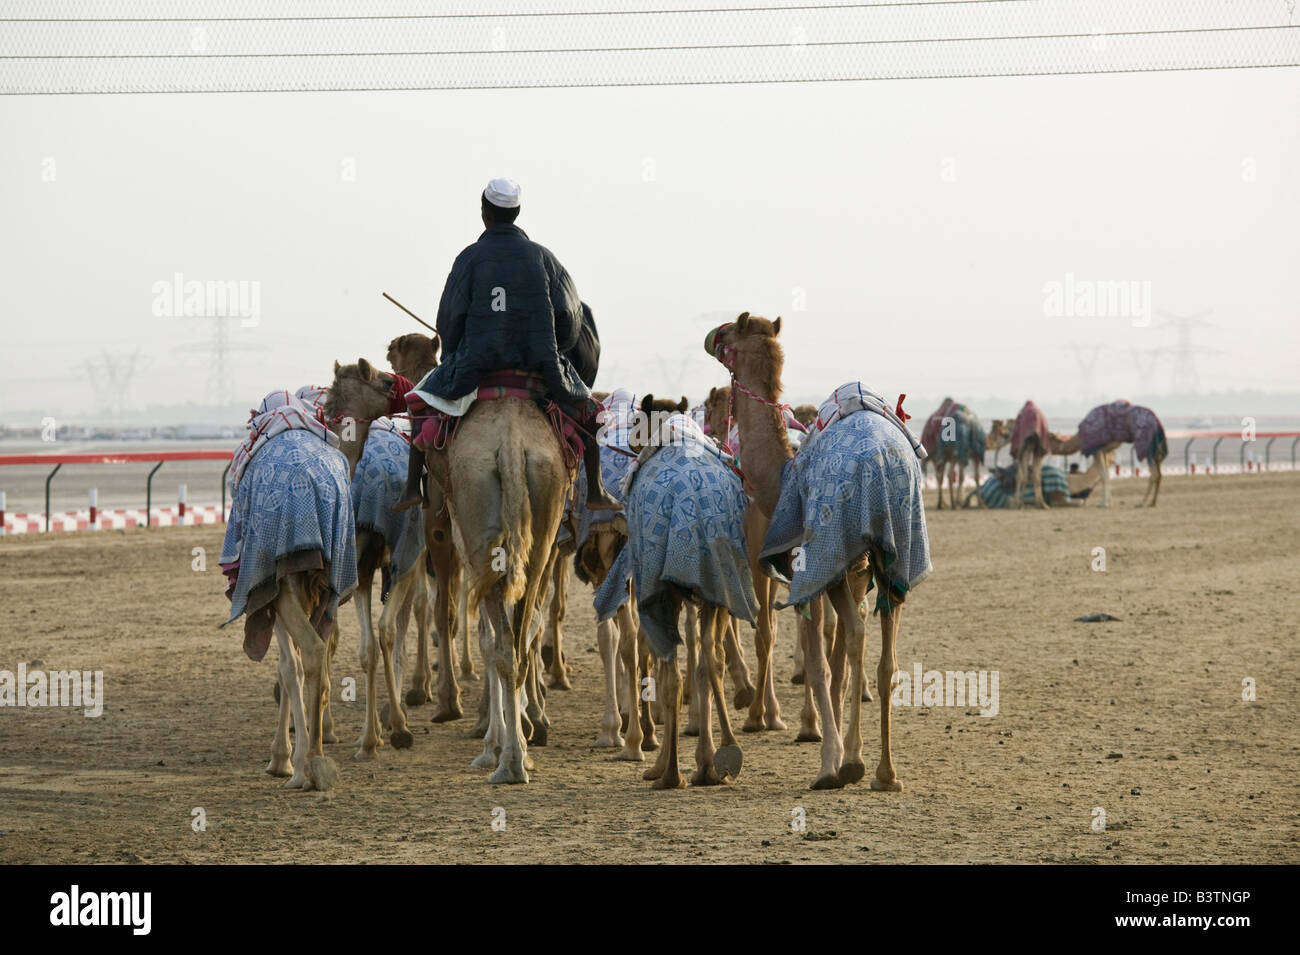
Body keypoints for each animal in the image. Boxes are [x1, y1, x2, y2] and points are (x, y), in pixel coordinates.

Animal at [706, 313, 931, 791]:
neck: (780, 477)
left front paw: (830, 763)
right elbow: (843, 659)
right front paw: (848, 755)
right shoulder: (852, 575)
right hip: (898, 556)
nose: (708, 336)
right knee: (886, 662)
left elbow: (822, 663)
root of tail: (883, 462)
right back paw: (885, 774)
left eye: (729, 333)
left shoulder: (815, 571)